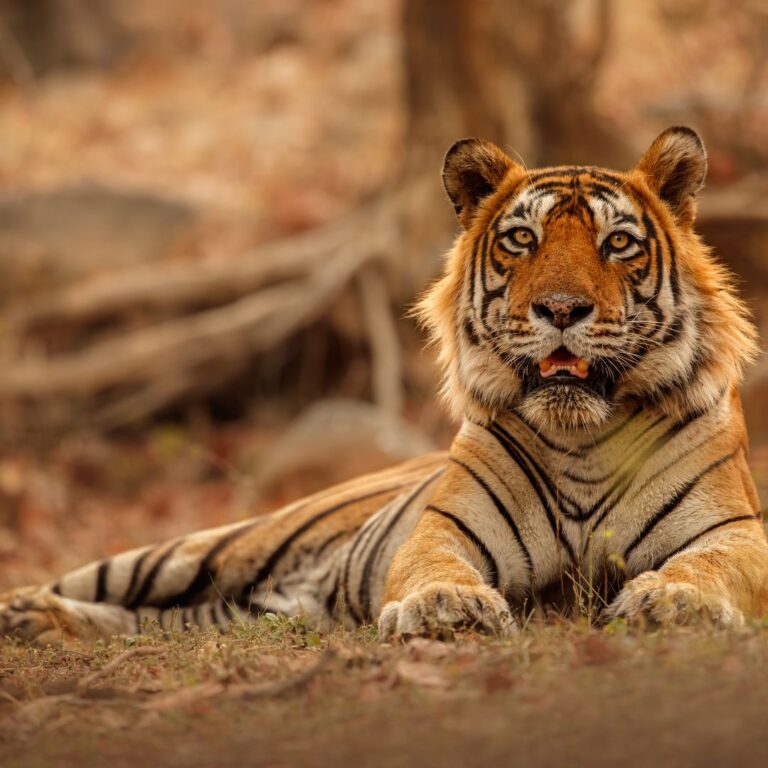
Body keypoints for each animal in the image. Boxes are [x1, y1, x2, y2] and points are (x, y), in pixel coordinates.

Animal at [1, 126, 767, 646]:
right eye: (522, 239)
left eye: (618, 243)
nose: (560, 309)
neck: (583, 435)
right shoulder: (443, 530)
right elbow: (434, 567)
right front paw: (445, 607)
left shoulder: (734, 533)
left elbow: (708, 567)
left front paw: (674, 602)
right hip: (208, 547)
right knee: (101, 583)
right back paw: (26, 612)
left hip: (228, 606)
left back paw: (43, 624)